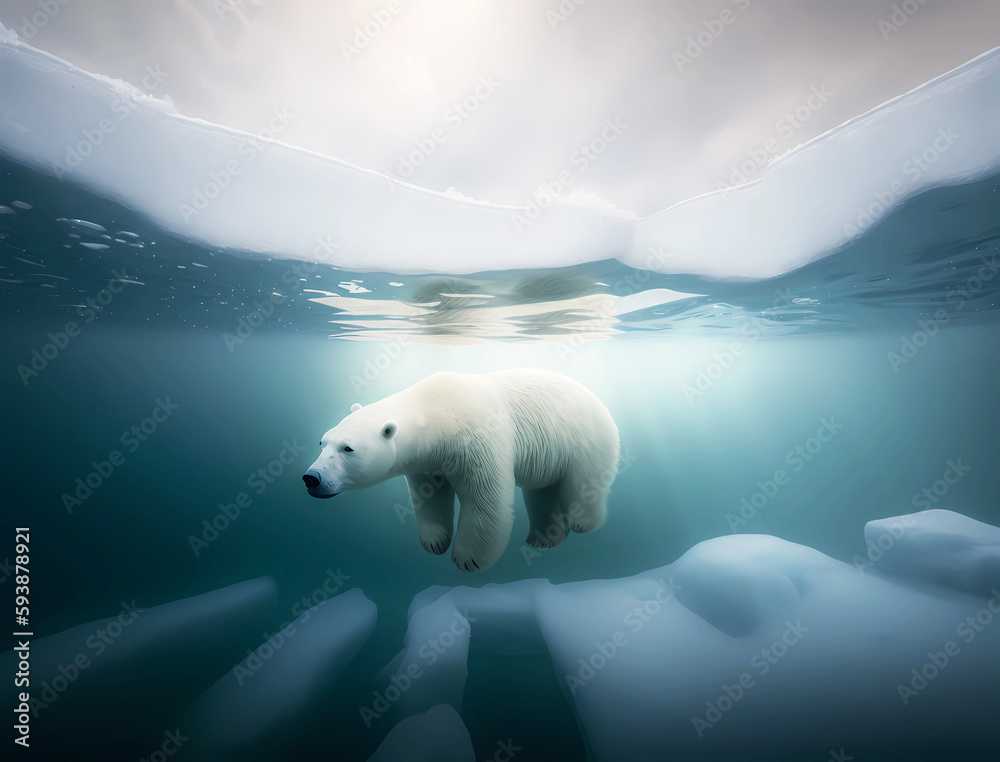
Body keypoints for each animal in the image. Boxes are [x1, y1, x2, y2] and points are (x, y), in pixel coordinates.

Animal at [302, 369, 619, 572]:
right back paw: (543, 538)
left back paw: (583, 523)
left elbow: (485, 501)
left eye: (348, 448)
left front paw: (468, 558)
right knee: (541, 492)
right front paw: (434, 541)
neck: (435, 412)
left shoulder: (475, 440)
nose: (311, 478)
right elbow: (429, 497)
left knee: (583, 485)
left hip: (584, 437)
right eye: (322, 442)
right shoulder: (427, 461)